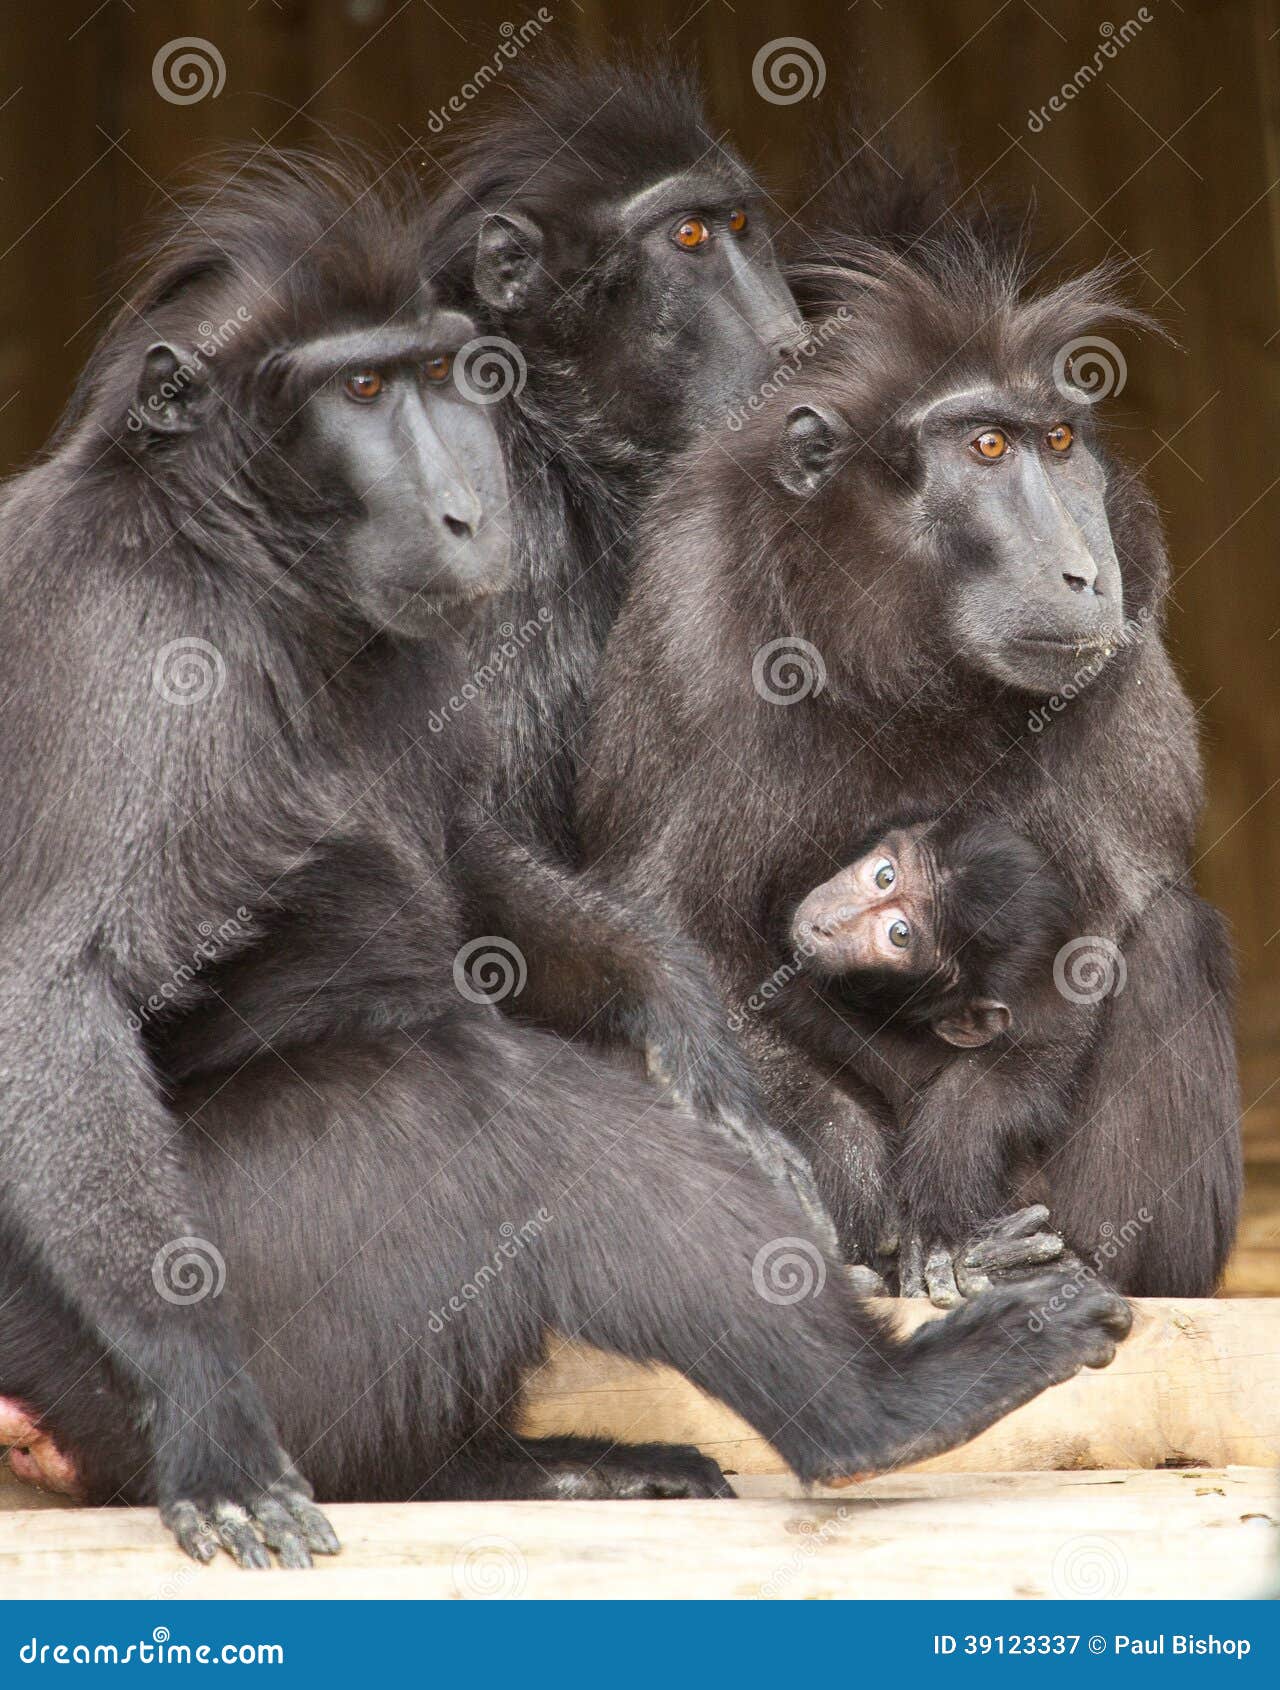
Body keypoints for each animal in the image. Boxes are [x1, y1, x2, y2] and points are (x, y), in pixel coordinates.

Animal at [0, 154, 1134, 1555]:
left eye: (443, 376)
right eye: (361, 390)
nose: (466, 508)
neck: (231, 550)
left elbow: (472, 860)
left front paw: (695, 1039)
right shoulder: (140, 638)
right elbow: (57, 989)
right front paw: (201, 1400)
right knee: (485, 1104)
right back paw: (882, 1408)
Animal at [578, 165, 1242, 1299]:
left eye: (1057, 444)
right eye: (986, 446)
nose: (1085, 570)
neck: (900, 662)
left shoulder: (1119, 649)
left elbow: (1093, 938)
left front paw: (944, 1180)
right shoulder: (693, 607)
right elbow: (678, 938)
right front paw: (847, 1192)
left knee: (1166, 939)